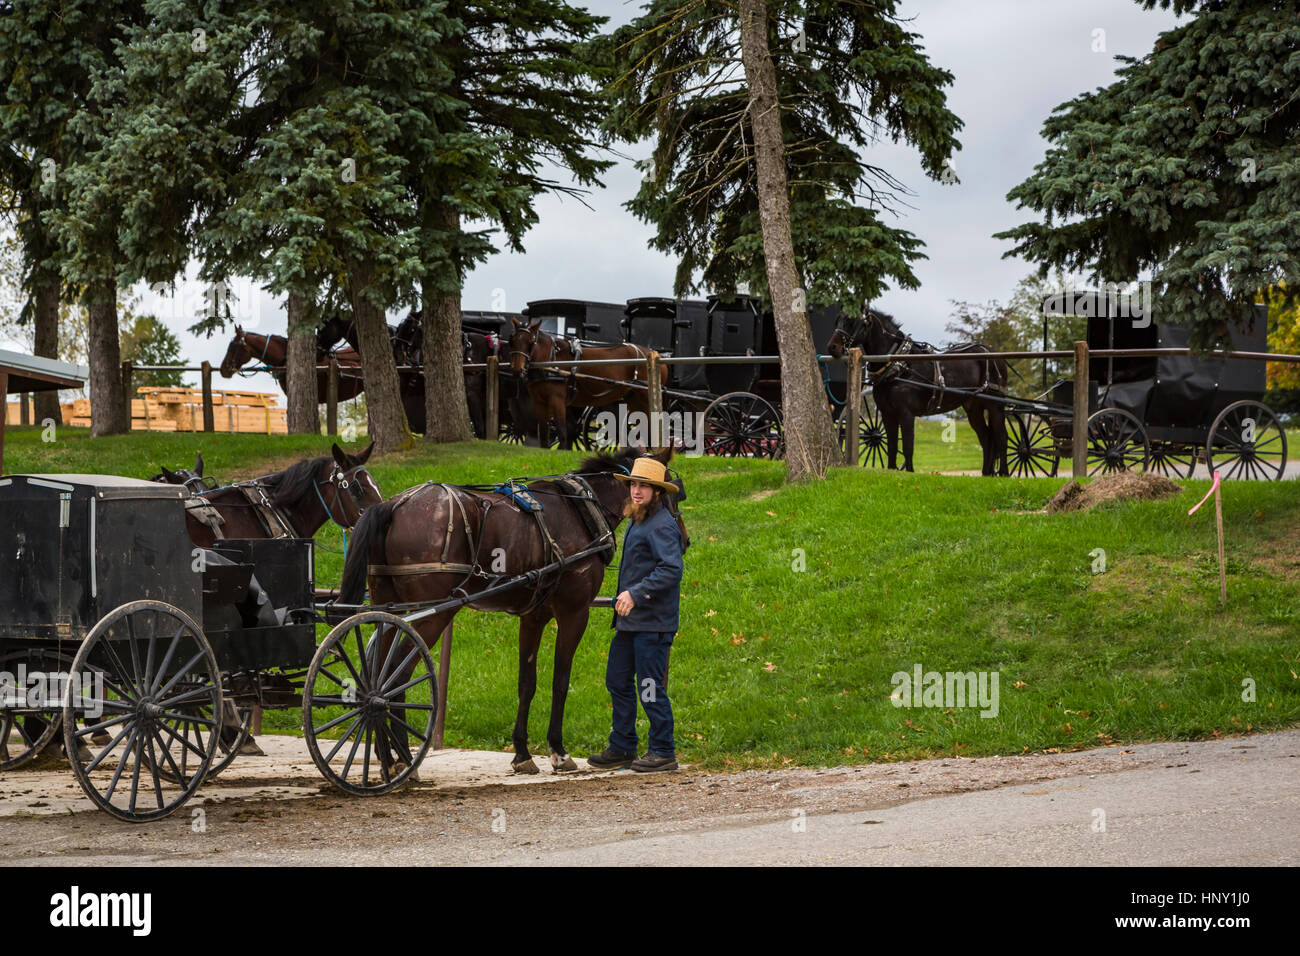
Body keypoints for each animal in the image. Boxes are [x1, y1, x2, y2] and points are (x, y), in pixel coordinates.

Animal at [337, 446, 684, 774]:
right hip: (430, 616)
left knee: (377, 673)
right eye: (676, 490)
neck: (580, 509)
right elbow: (560, 681)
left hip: (391, 610)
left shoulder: (533, 616)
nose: (684, 538)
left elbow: (526, 683)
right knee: (395, 680)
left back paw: (386, 758)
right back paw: (404, 759)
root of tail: (393, 505)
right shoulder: (574, 612)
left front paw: (521, 752)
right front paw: (558, 751)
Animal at [507, 318, 665, 449]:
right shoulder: (539, 401)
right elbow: (544, 434)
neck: (551, 359)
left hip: (645, 398)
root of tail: (655, 355)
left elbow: (562, 432)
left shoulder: (557, 400)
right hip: (634, 400)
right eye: (512, 341)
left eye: (530, 341)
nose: (517, 370)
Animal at [827, 309, 1009, 475]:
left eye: (851, 321)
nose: (832, 347)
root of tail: (992, 352)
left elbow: (907, 446)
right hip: (973, 407)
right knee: (986, 437)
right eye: (837, 321)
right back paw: (987, 473)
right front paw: (892, 470)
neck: (900, 365)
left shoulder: (906, 413)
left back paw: (1004, 473)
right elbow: (892, 445)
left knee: (1001, 437)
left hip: (995, 404)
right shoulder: (887, 414)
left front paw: (909, 471)